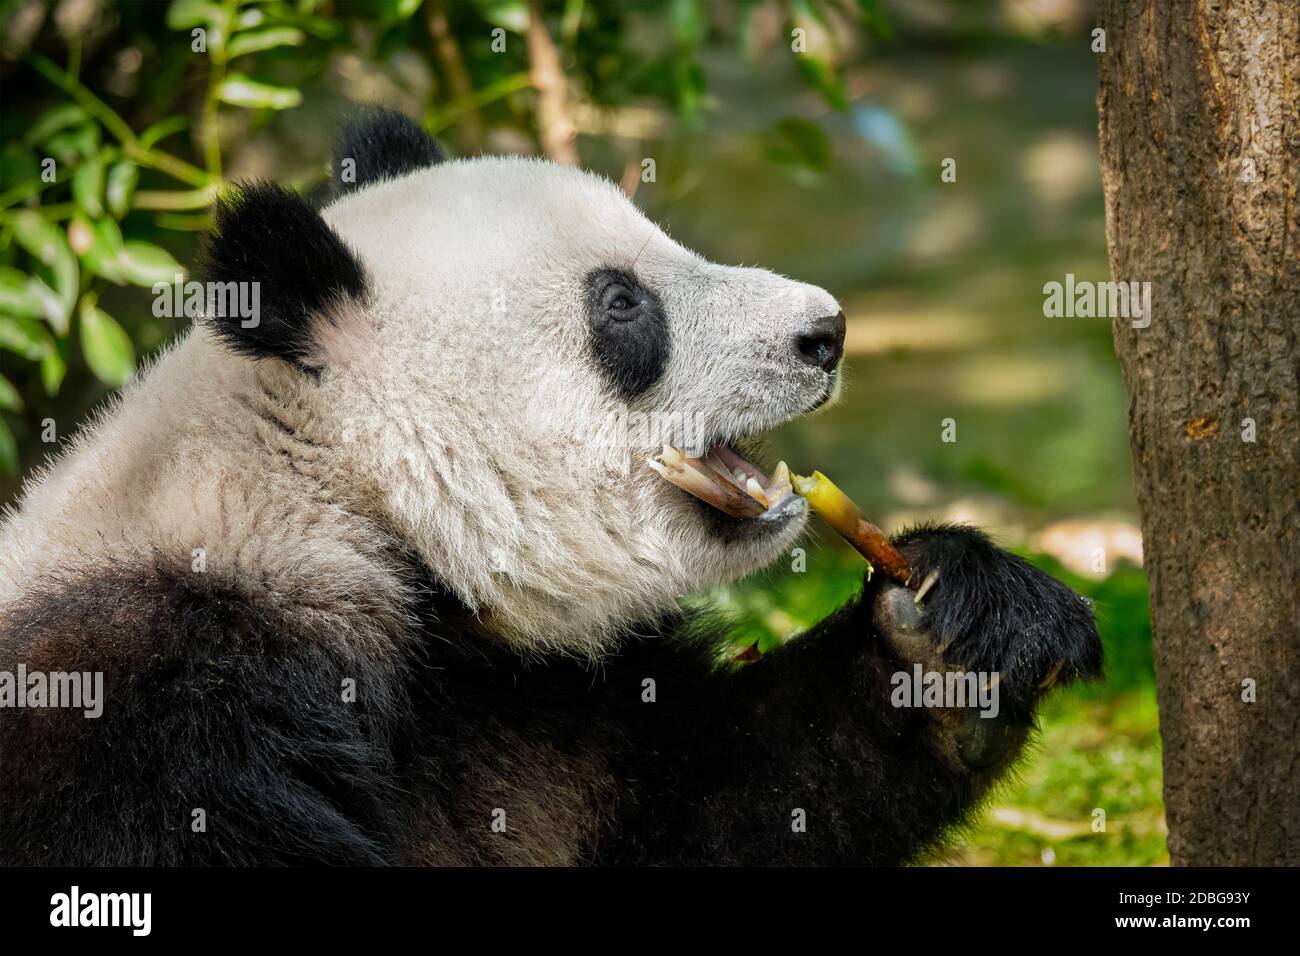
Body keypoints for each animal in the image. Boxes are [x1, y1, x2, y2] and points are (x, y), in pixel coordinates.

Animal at [0, 110, 1101, 866]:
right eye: (622, 304)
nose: (823, 332)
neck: (344, 494)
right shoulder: (143, 715)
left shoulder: (538, 697)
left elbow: (720, 806)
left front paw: (955, 627)